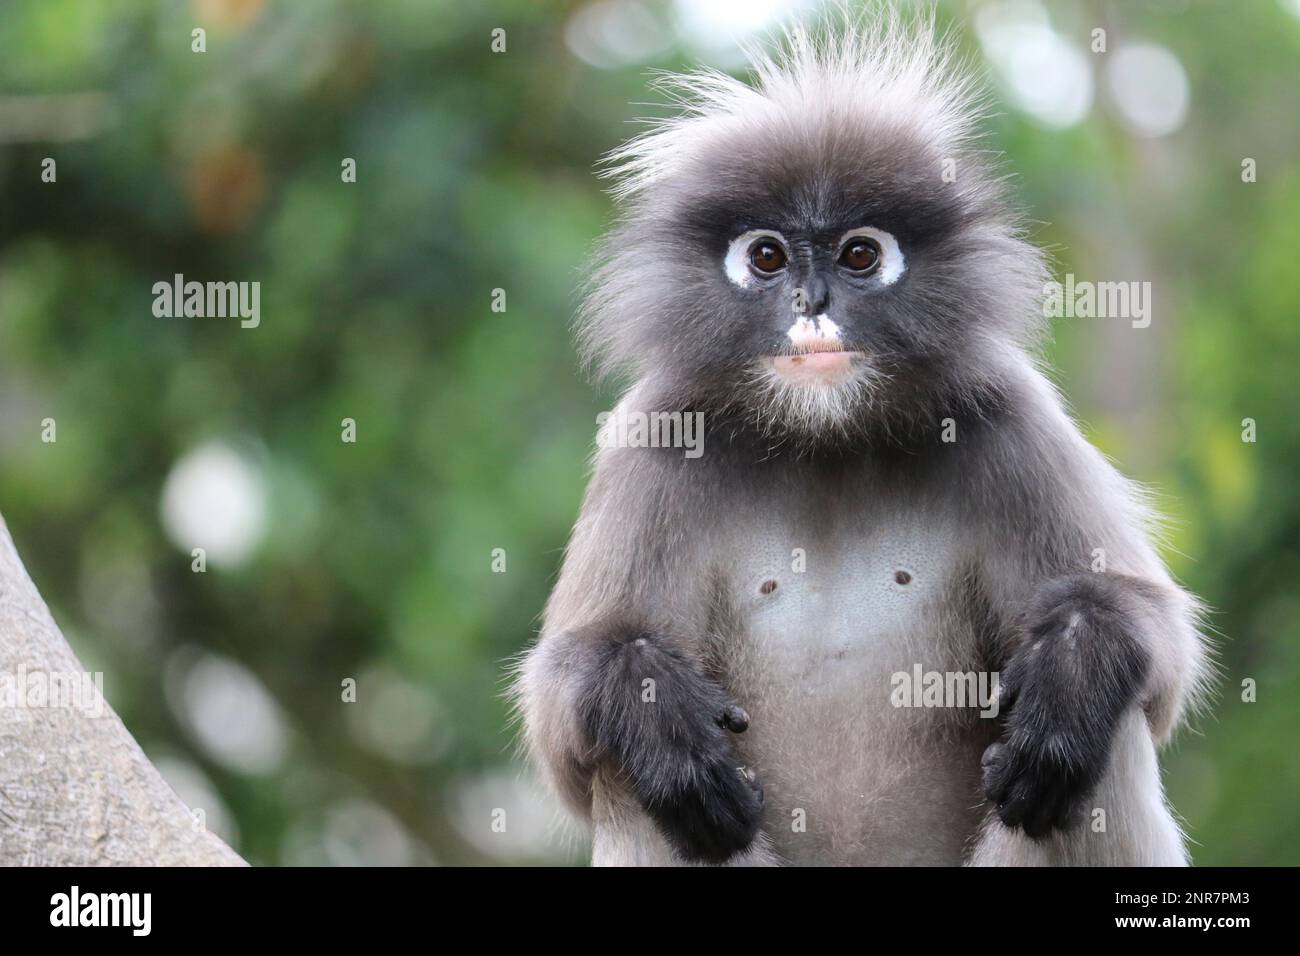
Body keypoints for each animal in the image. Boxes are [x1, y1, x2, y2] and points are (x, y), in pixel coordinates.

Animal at [513, 13, 1212, 866]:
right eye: (767, 256)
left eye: (859, 255)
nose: (813, 303)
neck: (829, 443)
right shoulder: (652, 437)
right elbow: (562, 712)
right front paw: (653, 712)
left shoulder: (1013, 415)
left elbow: (1157, 641)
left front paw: (1071, 673)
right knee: (636, 779)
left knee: (1104, 739)